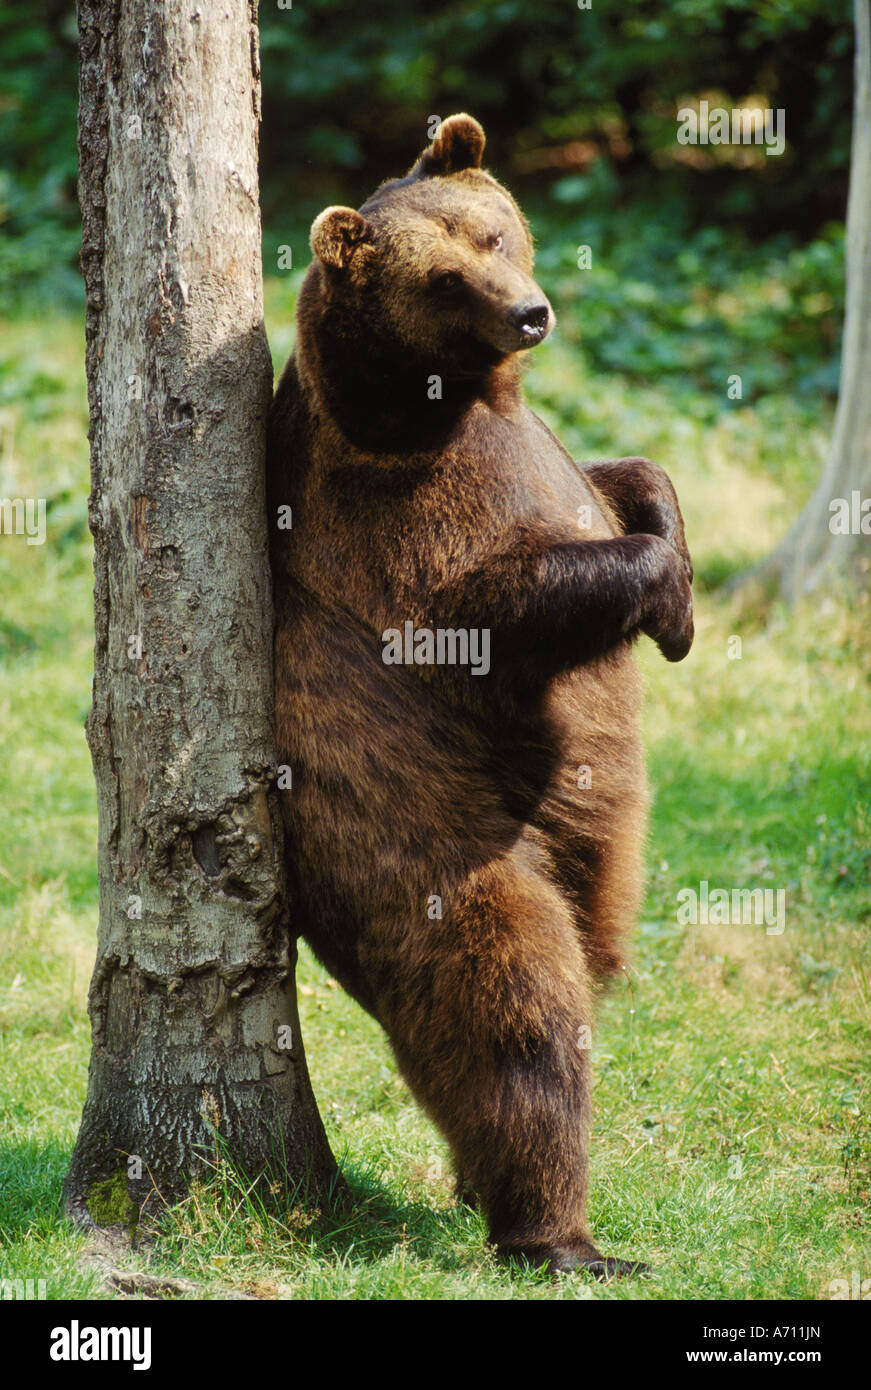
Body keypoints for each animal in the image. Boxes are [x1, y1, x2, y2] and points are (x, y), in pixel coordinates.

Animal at [265, 113, 693, 1276]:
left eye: (496, 231)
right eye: (445, 274)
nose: (531, 313)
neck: (451, 400)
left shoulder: (530, 446)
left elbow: (624, 474)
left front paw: (681, 594)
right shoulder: (403, 522)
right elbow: (501, 601)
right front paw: (660, 588)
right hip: (432, 843)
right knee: (516, 1010)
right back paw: (564, 1236)